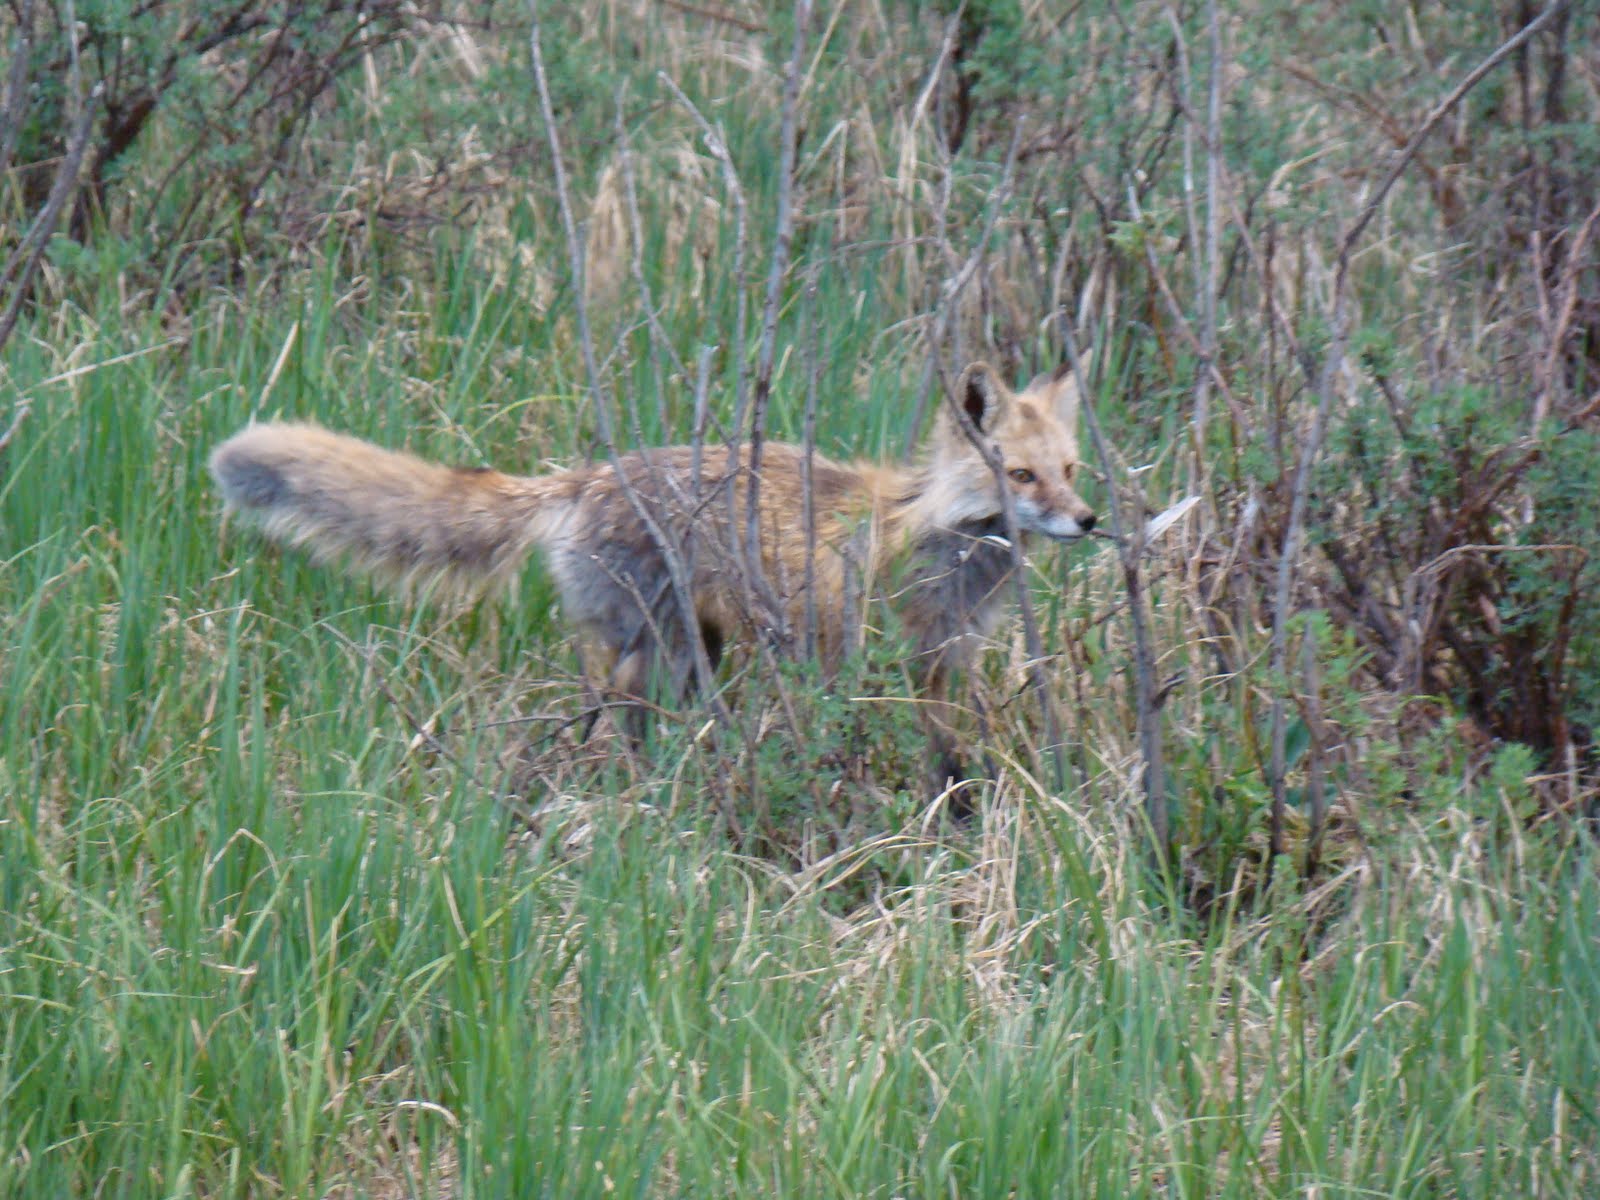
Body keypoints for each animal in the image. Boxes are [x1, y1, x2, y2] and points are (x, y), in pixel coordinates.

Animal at [211, 360, 1096, 794]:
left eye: (1070, 470)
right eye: (1021, 476)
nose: (1088, 521)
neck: (930, 536)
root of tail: (582, 477)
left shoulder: (944, 659)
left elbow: (949, 752)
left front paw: (961, 803)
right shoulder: (870, 655)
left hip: (690, 653)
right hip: (661, 654)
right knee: (608, 726)